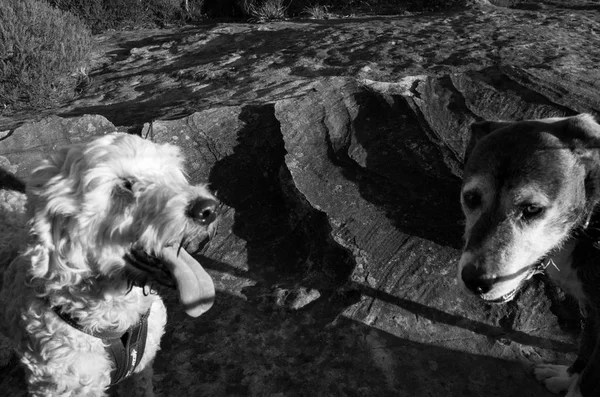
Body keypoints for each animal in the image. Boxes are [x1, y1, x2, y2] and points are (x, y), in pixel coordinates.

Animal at [458, 113, 596, 396]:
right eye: (472, 198)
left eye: (532, 209)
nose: (475, 282)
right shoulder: (591, 309)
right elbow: (585, 350)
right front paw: (567, 377)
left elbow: (587, 381)